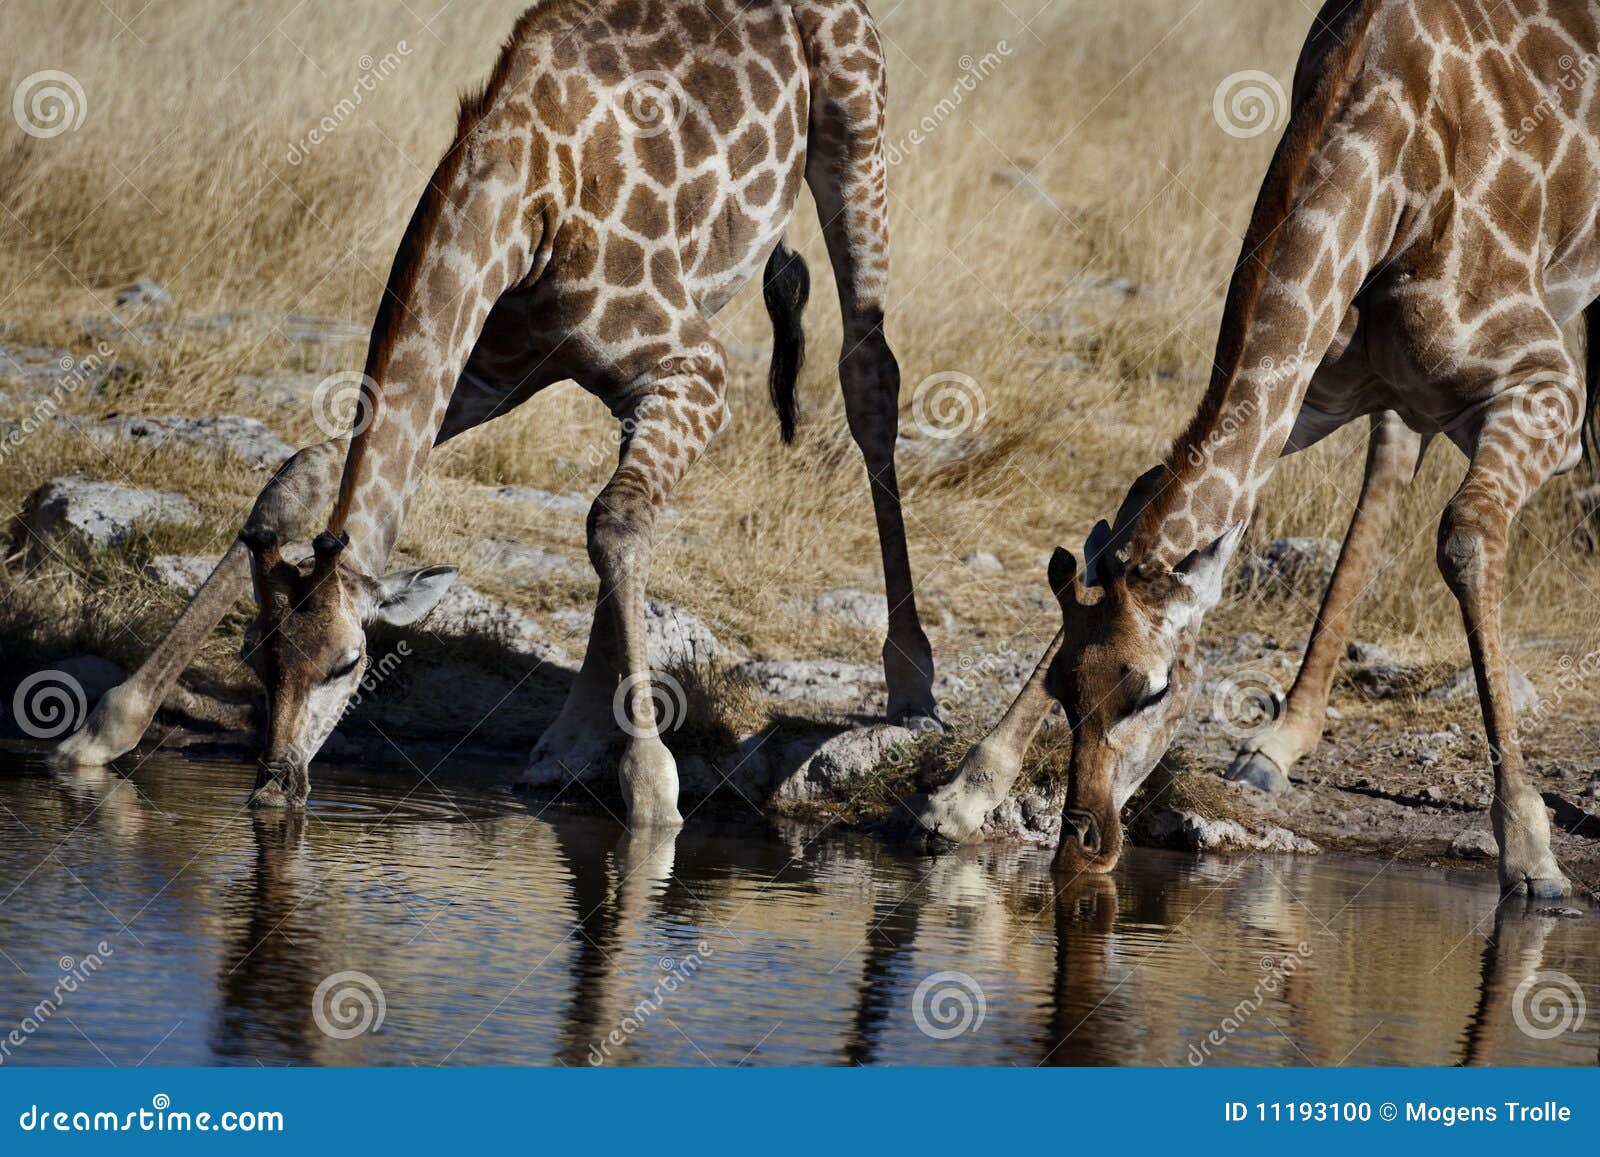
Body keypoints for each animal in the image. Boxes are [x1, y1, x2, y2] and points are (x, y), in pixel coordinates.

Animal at [53, 0, 940, 824]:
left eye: (348, 663)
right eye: (254, 655)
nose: (274, 787)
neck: (519, 204)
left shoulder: (696, 366)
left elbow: (612, 518)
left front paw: (652, 790)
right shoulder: (485, 372)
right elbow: (304, 472)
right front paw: (105, 727)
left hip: (856, 130)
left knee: (868, 375)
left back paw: (912, 684)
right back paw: (568, 743)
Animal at [909, 0, 1600, 898]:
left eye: (1154, 690)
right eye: (1065, 685)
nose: (1082, 846)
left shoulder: (1542, 383)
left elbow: (1466, 534)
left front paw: (1530, 850)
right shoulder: (1306, 387)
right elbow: (1149, 494)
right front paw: (960, 795)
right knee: (1389, 458)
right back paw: (1279, 741)